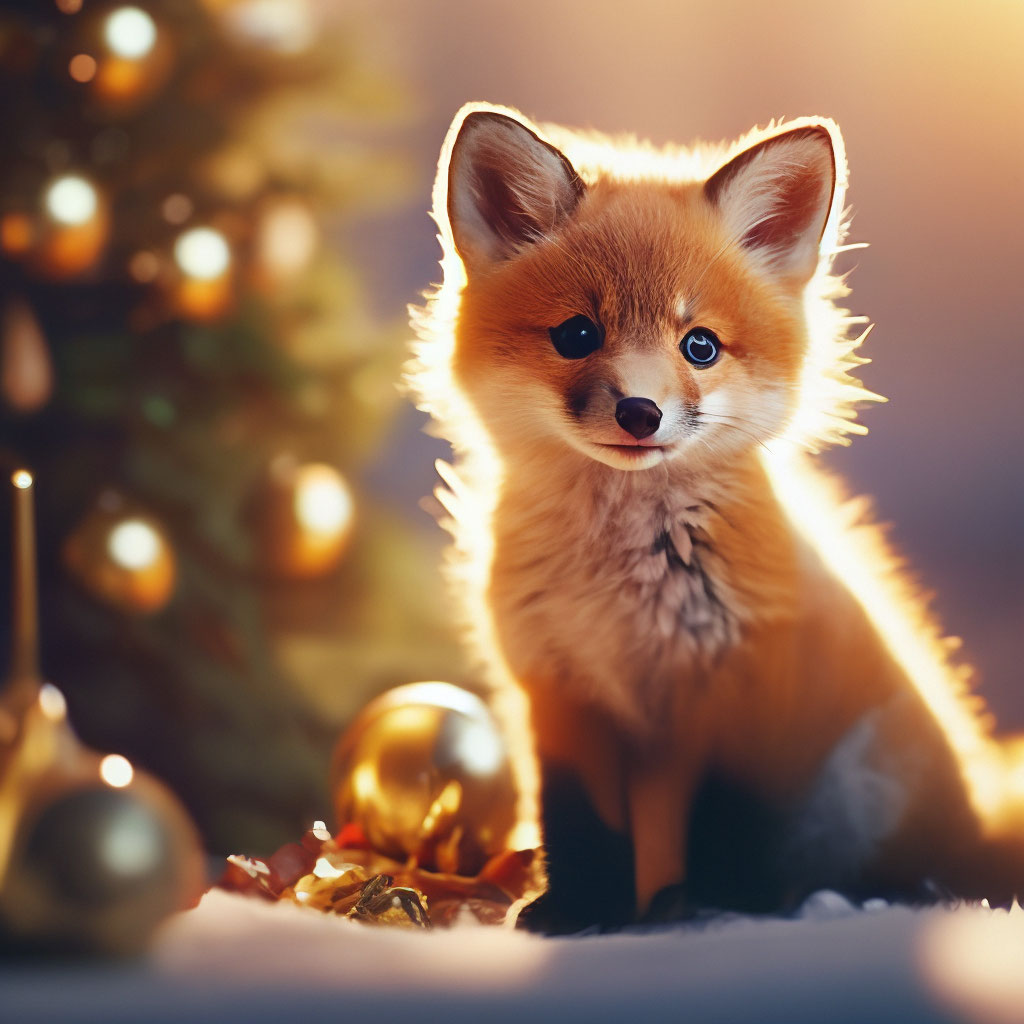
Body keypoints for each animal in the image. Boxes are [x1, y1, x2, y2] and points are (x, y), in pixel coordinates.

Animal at [408, 102, 1024, 932]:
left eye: (699, 345)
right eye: (577, 334)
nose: (641, 412)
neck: (626, 583)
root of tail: (978, 816)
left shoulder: (742, 694)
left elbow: (726, 823)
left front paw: (708, 906)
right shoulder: (563, 693)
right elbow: (578, 823)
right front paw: (580, 911)